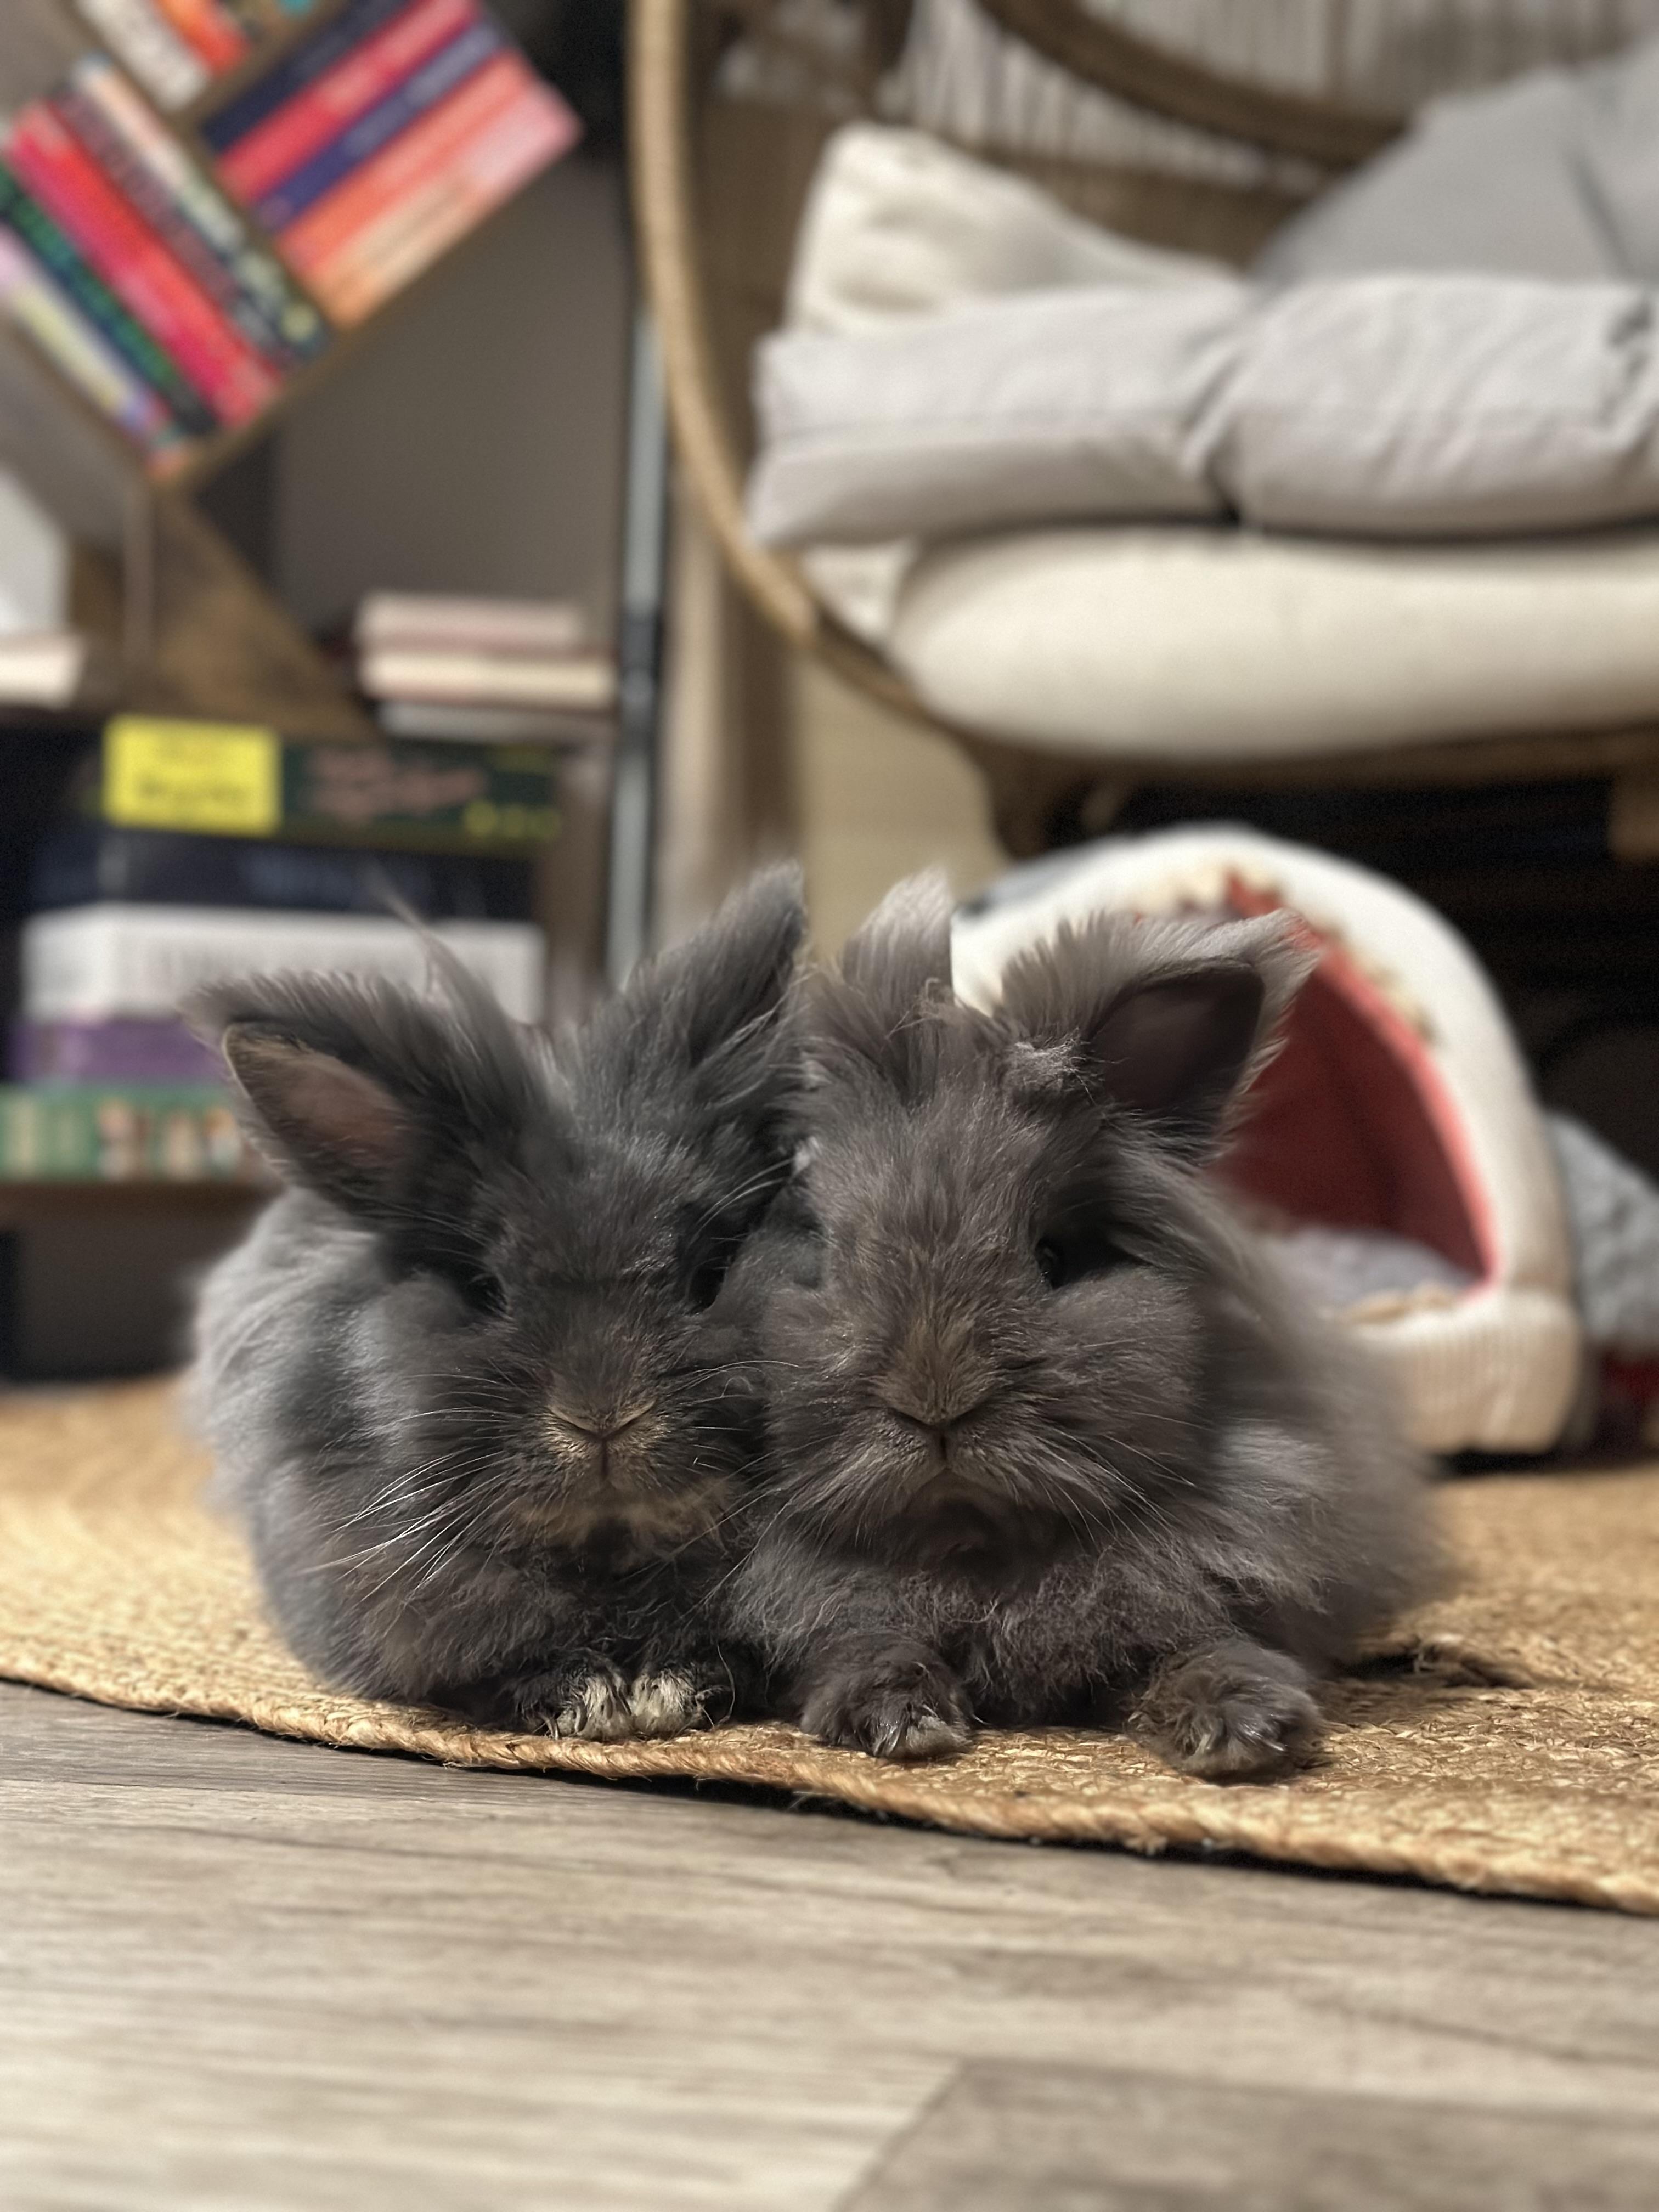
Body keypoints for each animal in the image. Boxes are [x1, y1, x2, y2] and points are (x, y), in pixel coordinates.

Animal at [188, 866, 805, 1741]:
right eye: (485, 1287)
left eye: (709, 1271)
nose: (602, 1418)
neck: (608, 1558)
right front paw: (586, 1700)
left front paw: (665, 1691)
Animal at [732, 877, 1440, 1778]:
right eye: (827, 1254)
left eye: (1056, 1256)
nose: (936, 1399)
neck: (983, 1550)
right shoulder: (832, 1614)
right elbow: (863, 1643)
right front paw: (894, 1718)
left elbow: (1203, 1648)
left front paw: (1250, 1727)